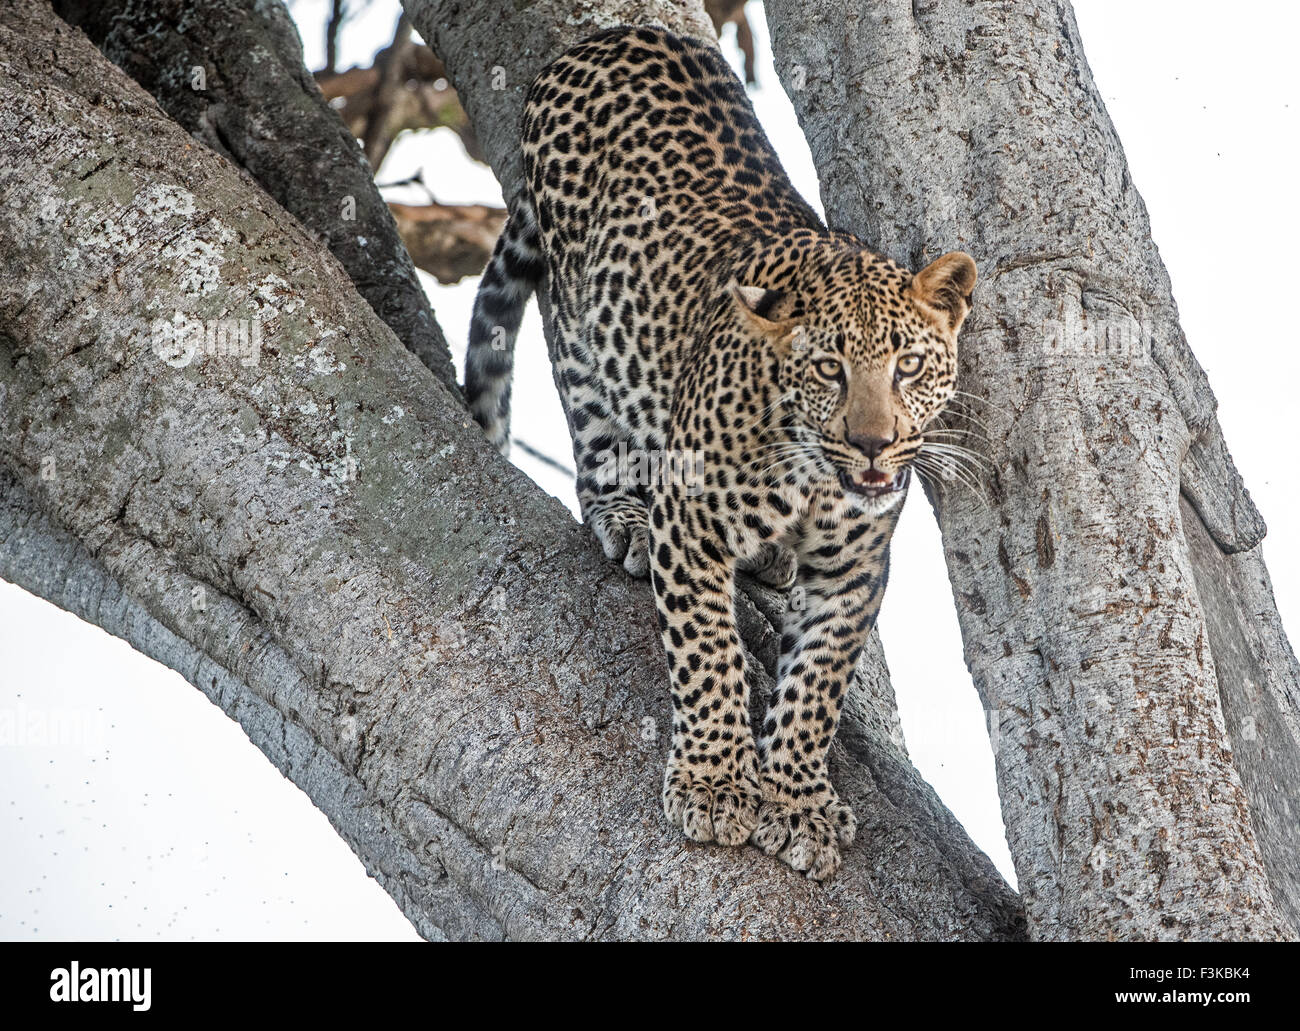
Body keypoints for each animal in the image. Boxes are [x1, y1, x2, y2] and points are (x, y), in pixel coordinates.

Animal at [464, 25, 976, 879]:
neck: (813, 476)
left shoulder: (855, 569)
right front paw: (713, 782)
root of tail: (602, 39)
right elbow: (707, 652)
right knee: (588, 411)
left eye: (909, 364)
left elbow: (818, 685)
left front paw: (797, 800)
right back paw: (620, 514)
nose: (873, 443)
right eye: (828, 369)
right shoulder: (692, 522)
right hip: (580, 315)